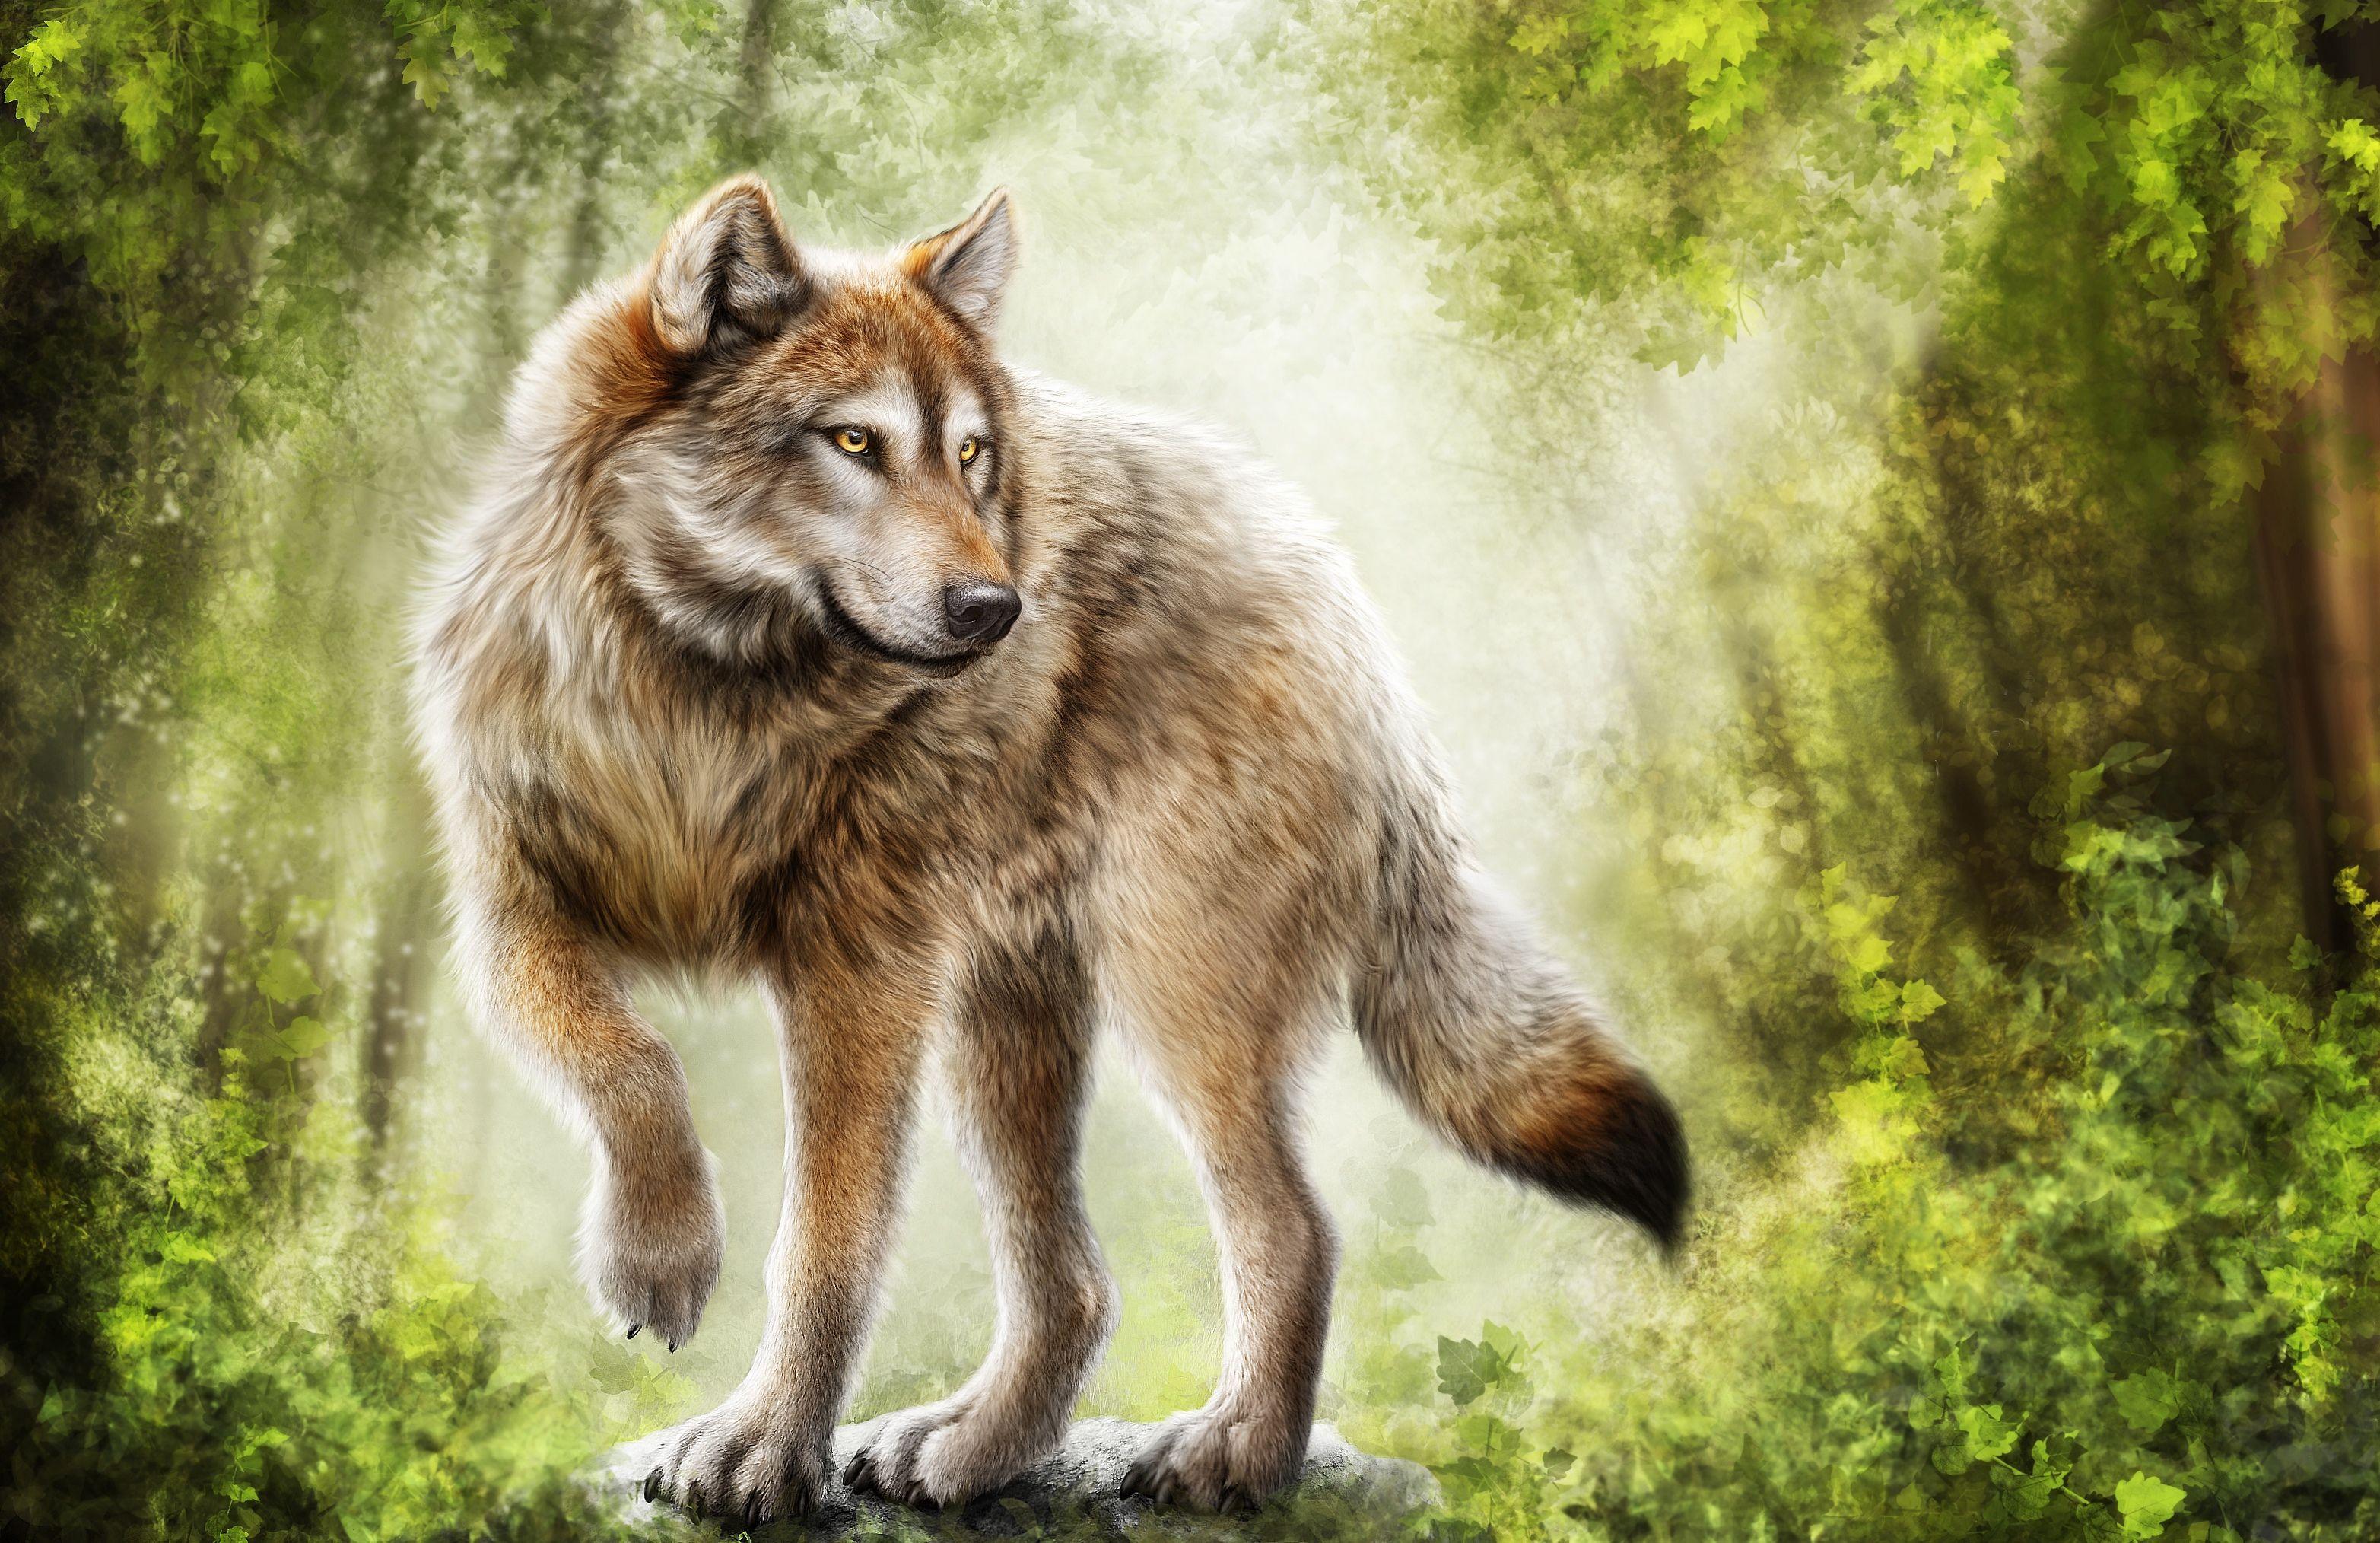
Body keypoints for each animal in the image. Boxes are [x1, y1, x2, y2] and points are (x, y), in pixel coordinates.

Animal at [412, 175, 1686, 1525]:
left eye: (970, 454)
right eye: (853, 443)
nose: (997, 610)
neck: (699, 700)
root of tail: (1339, 598)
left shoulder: (856, 980)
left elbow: (824, 1247)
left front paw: (761, 1445)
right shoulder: (507, 924)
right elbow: (631, 1063)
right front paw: (657, 1260)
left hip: (1168, 1004)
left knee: (1293, 1231)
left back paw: (1234, 1452)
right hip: (1007, 1025)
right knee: (1075, 1286)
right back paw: (972, 1448)